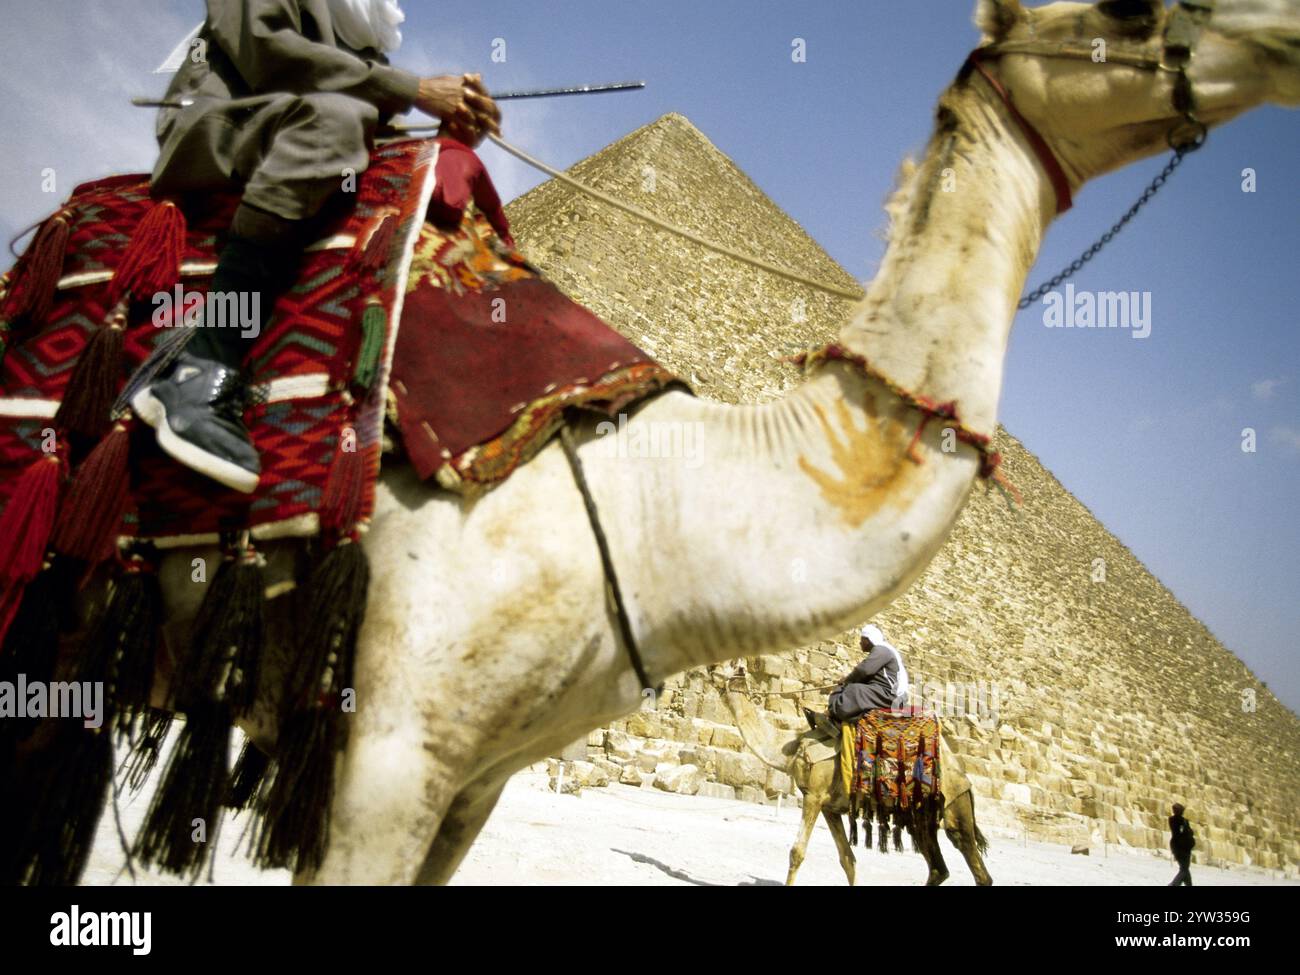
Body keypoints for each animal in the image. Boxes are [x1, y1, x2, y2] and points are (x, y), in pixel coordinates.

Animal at [713, 665, 992, 886]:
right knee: (937, 868)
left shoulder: (814, 796)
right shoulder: (830, 807)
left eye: (725, 665)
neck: (789, 748)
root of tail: (963, 775)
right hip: (921, 817)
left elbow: (797, 852)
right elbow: (848, 859)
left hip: (954, 804)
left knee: (977, 868)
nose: (709, 670)